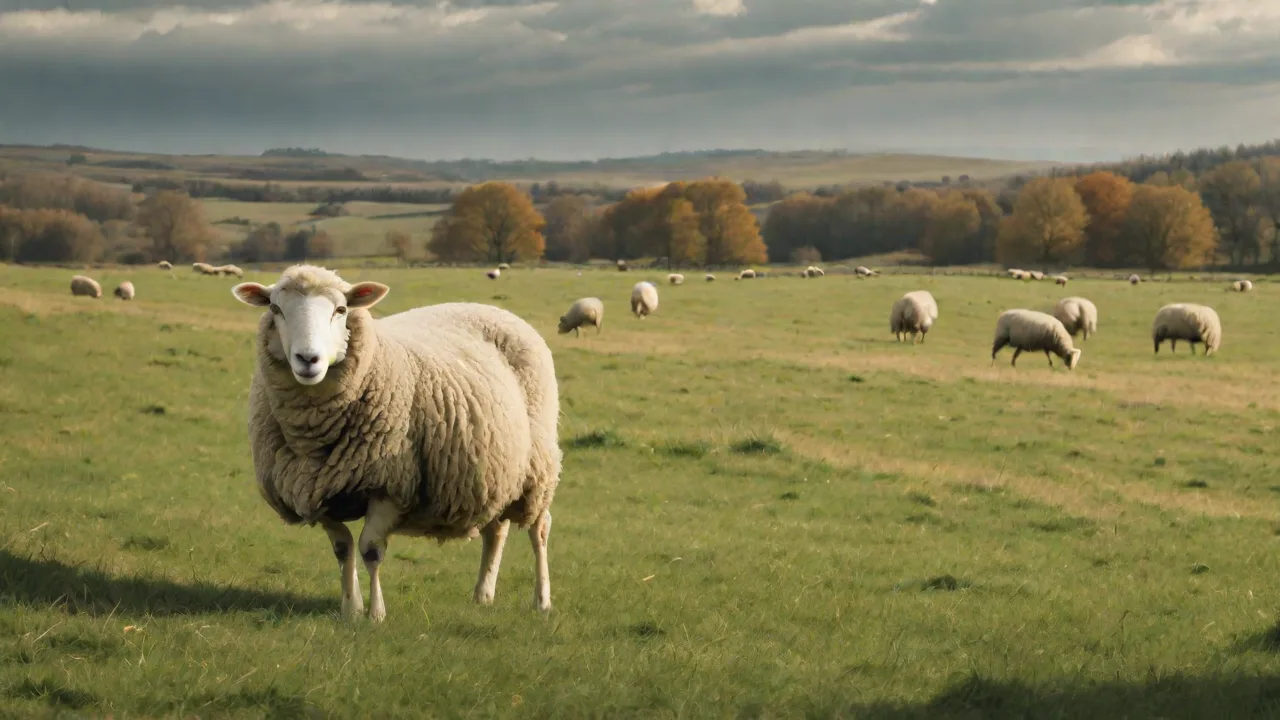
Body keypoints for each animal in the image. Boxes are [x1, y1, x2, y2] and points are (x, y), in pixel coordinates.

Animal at [233, 265, 562, 620]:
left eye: (341, 310)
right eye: (275, 309)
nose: (308, 359)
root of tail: (494, 309)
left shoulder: (391, 486)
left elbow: (371, 550)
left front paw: (376, 614)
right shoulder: (316, 488)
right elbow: (342, 548)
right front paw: (351, 609)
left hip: (538, 468)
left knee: (540, 529)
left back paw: (542, 600)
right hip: (498, 471)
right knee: (496, 530)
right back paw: (483, 594)